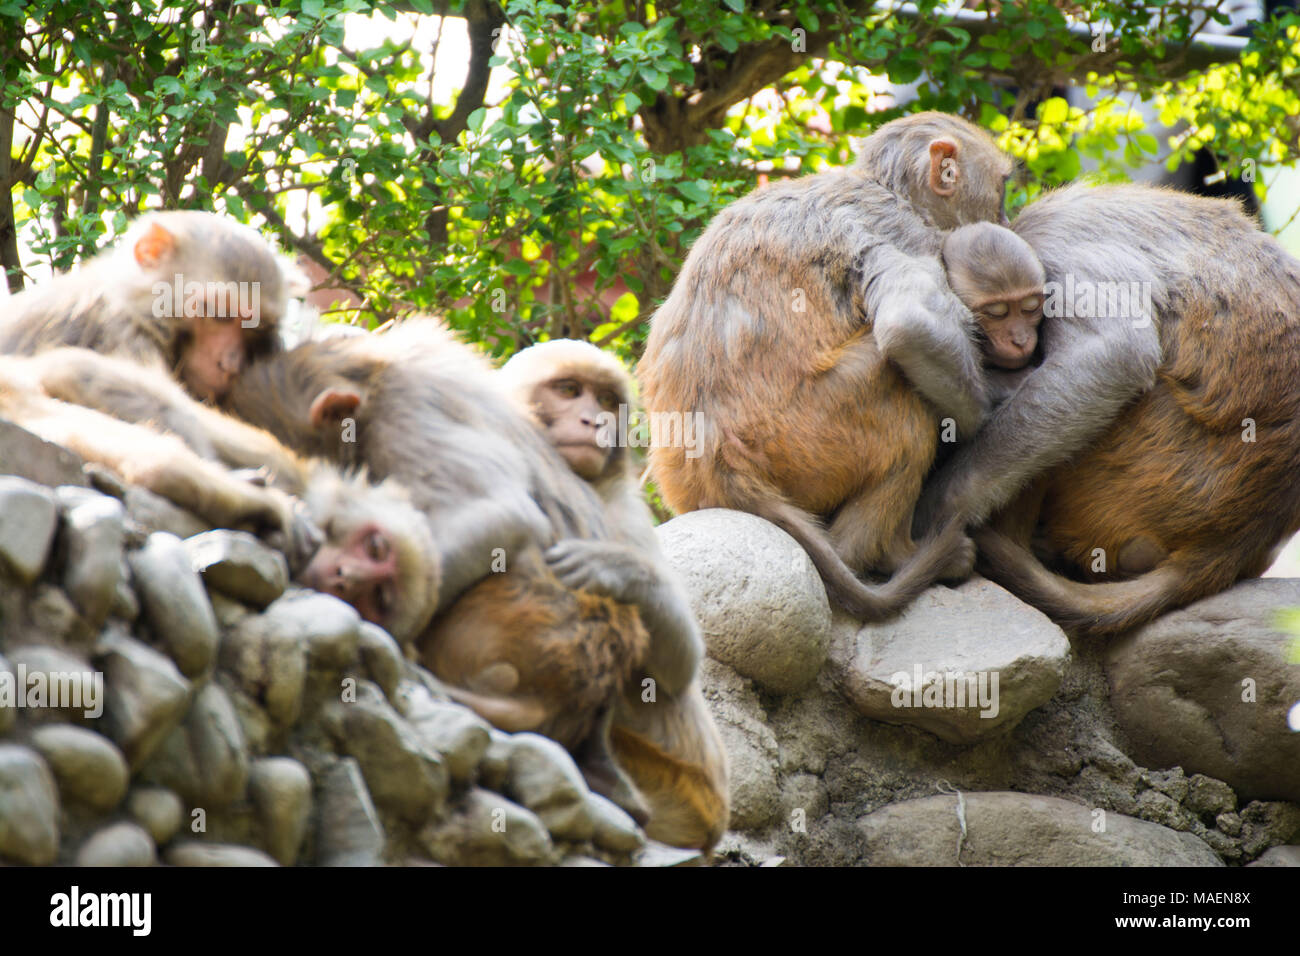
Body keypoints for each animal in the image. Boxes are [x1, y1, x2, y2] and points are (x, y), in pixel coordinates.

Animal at [497, 339, 730, 850]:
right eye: (569, 390)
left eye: (604, 400)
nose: (595, 421)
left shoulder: (625, 515)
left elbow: (678, 669)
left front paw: (617, 572)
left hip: (682, 794)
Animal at [637, 111, 1013, 622]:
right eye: (1002, 190)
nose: (1006, 219)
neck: (886, 188)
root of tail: (717, 461)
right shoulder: (908, 234)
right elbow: (911, 324)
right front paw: (980, 417)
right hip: (808, 436)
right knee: (904, 409)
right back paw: (883, 554)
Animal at [916, 183, 1300, 634]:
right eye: (996, 315)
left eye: (1024, 309)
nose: (1018, 340)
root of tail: (1239, 537)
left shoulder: (1057, 258)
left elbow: (1114, 355)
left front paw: (941, 506)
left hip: (1144, 467)